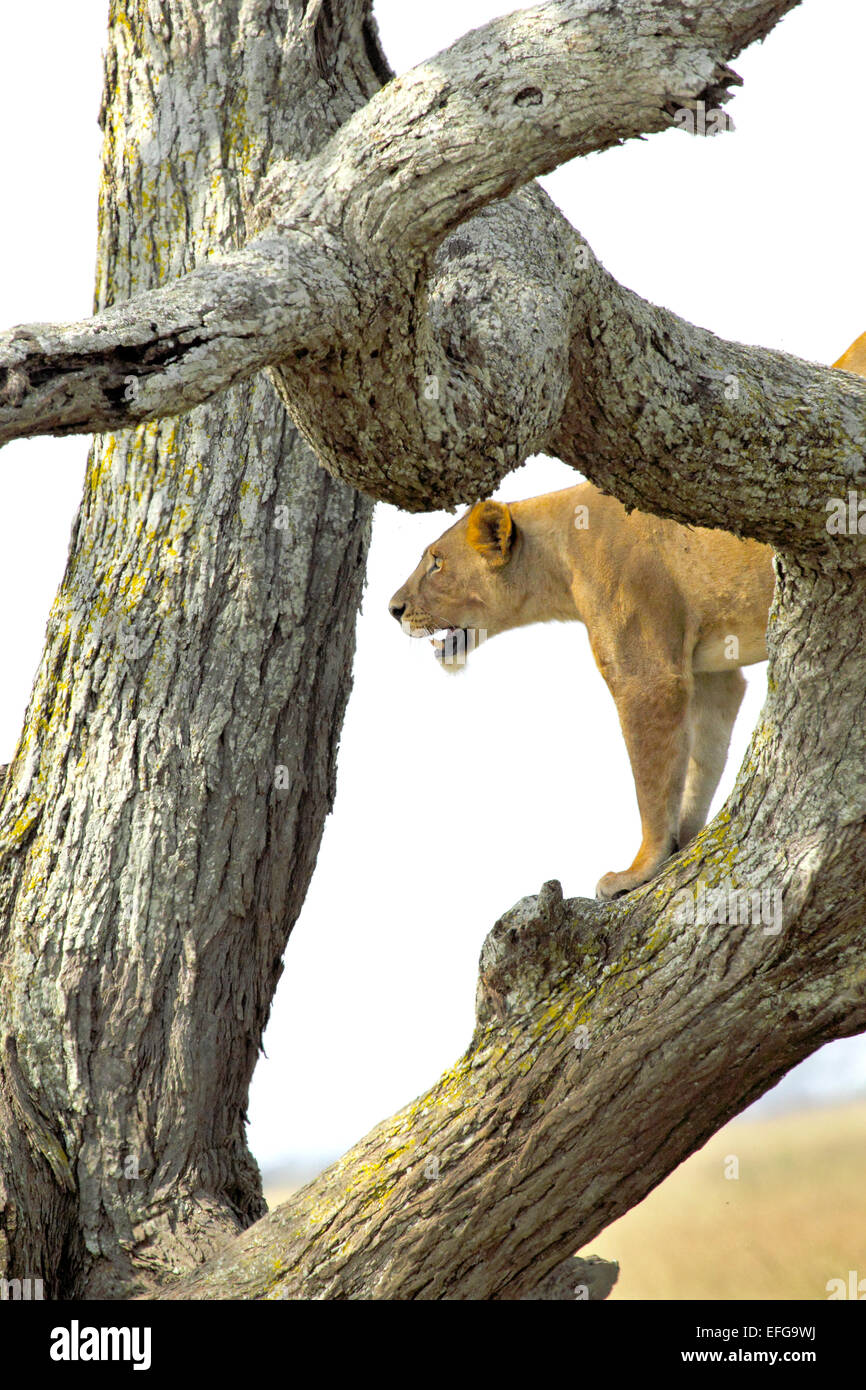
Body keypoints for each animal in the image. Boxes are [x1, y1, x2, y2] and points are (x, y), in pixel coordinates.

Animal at [388, 335, 865, 900]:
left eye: (436, 562)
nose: (392, 609)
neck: (558, 559)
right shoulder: (712, 673)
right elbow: (699, 764)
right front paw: (686, 843)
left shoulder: (649, 677)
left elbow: (652, 779)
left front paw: (639, 868)